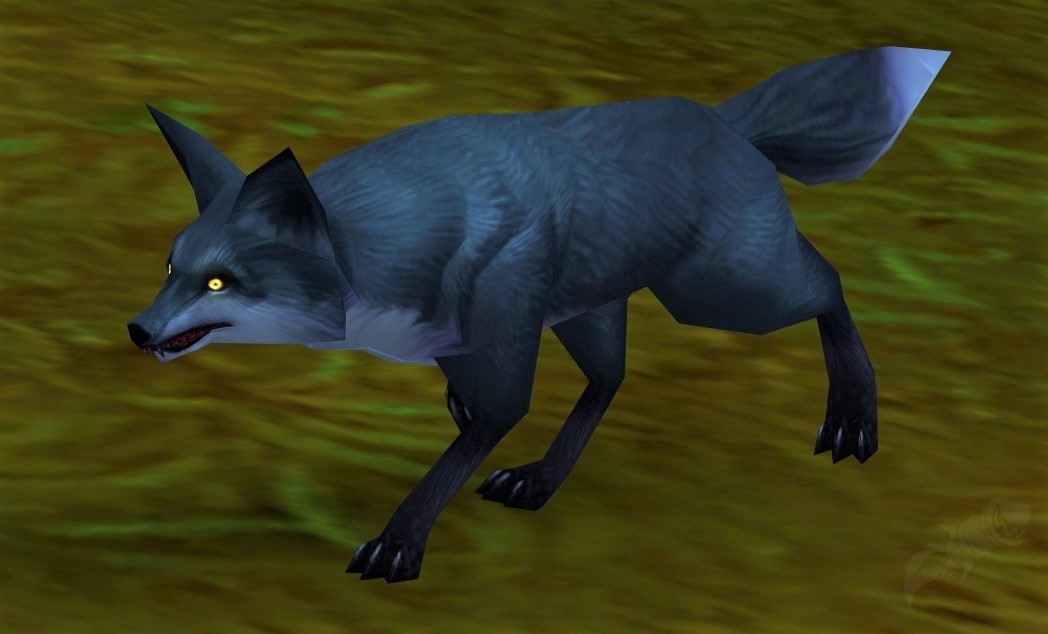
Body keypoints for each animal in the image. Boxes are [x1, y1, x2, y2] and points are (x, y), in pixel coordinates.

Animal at [128, 46, 949, 583]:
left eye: (219, 283)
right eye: (170, 269)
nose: (137, 329)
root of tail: (718, 118)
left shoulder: (500, 338)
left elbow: (472, 439)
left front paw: (399, 546)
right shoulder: (464, 336)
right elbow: (473, 414)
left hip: (725, 290)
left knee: (828, 283)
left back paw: (854, 415)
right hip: (592, 308)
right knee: (610, 379)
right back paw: (542, 481)